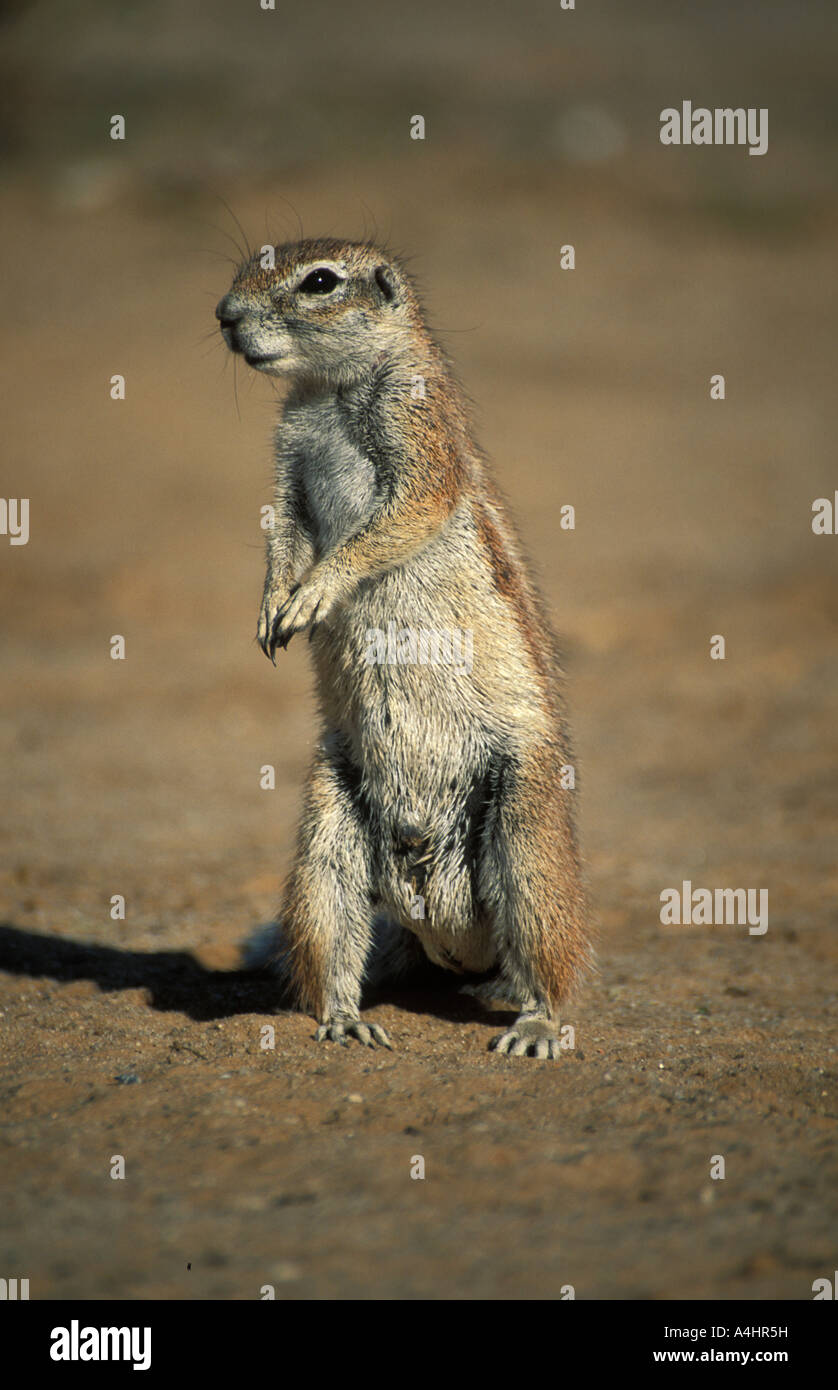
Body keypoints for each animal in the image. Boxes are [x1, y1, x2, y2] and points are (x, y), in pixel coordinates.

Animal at [216, 237, 590, 1057]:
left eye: (319, 281)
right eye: (245, 267)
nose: (223, 316)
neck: (326, 392)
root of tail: (446, 934)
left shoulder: (419, 434)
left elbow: (397, 518)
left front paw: (316, 592)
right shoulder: (287, 467)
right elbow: (282, 532)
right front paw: (270, 607)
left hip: (527, 829)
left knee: (547, 949)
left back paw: (536, 1024)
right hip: (328, 828)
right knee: (332, 935)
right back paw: (345, 1018)